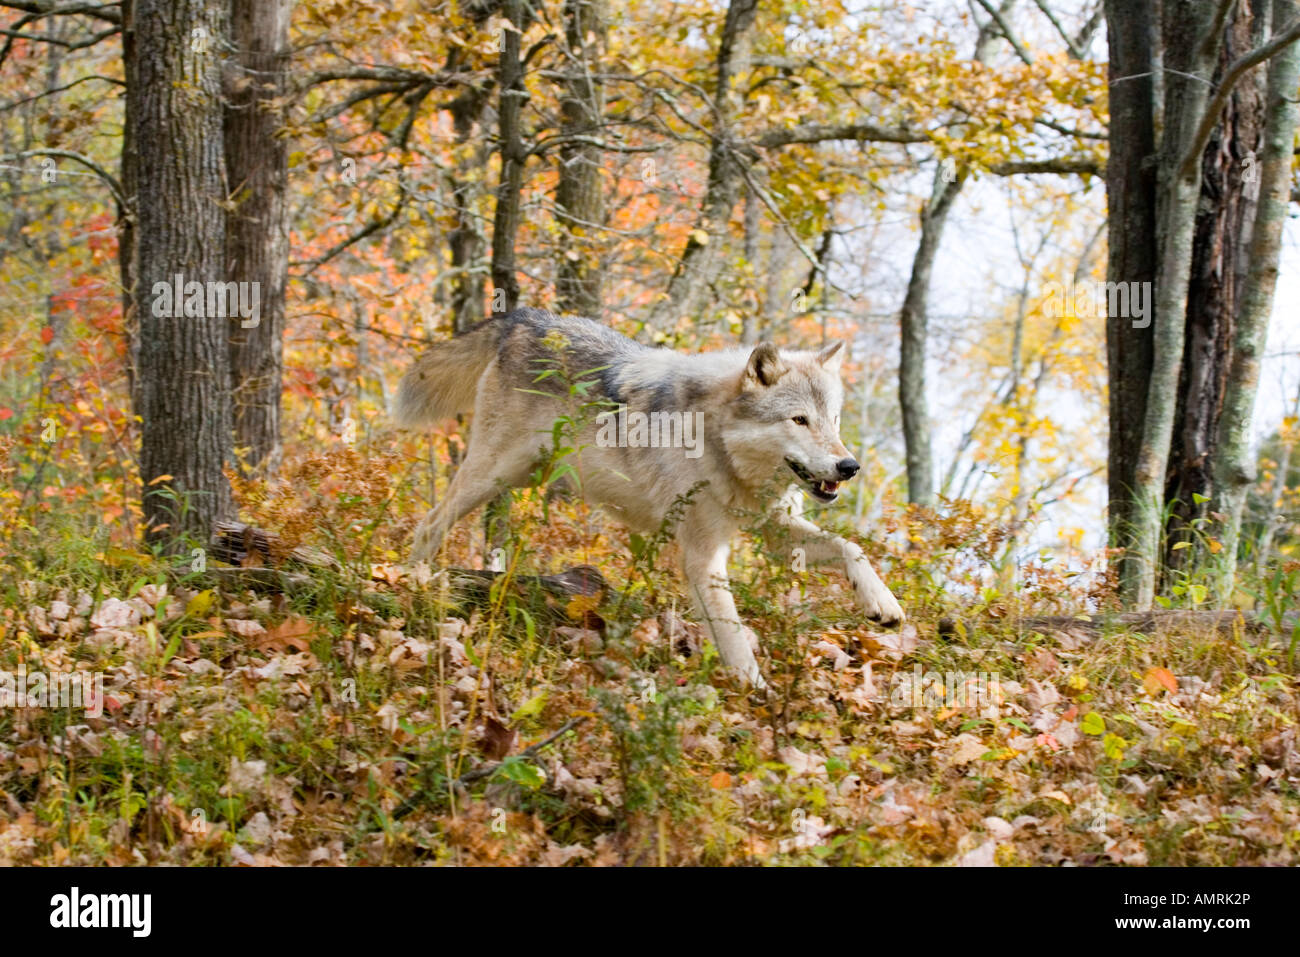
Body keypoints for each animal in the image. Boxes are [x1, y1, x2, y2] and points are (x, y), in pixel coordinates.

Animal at [393, 308, 904, 688]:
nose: (849, 467)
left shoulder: (773, 533)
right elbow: (734, 635)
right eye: (798, 420)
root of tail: (523, 317)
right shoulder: (702, 556)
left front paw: (883, 604)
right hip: (492, 474)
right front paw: (753, 691)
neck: (718, 444)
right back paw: (414, 583)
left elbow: (850, 547)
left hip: (518, 480)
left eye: (833, 421)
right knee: (429, 524)